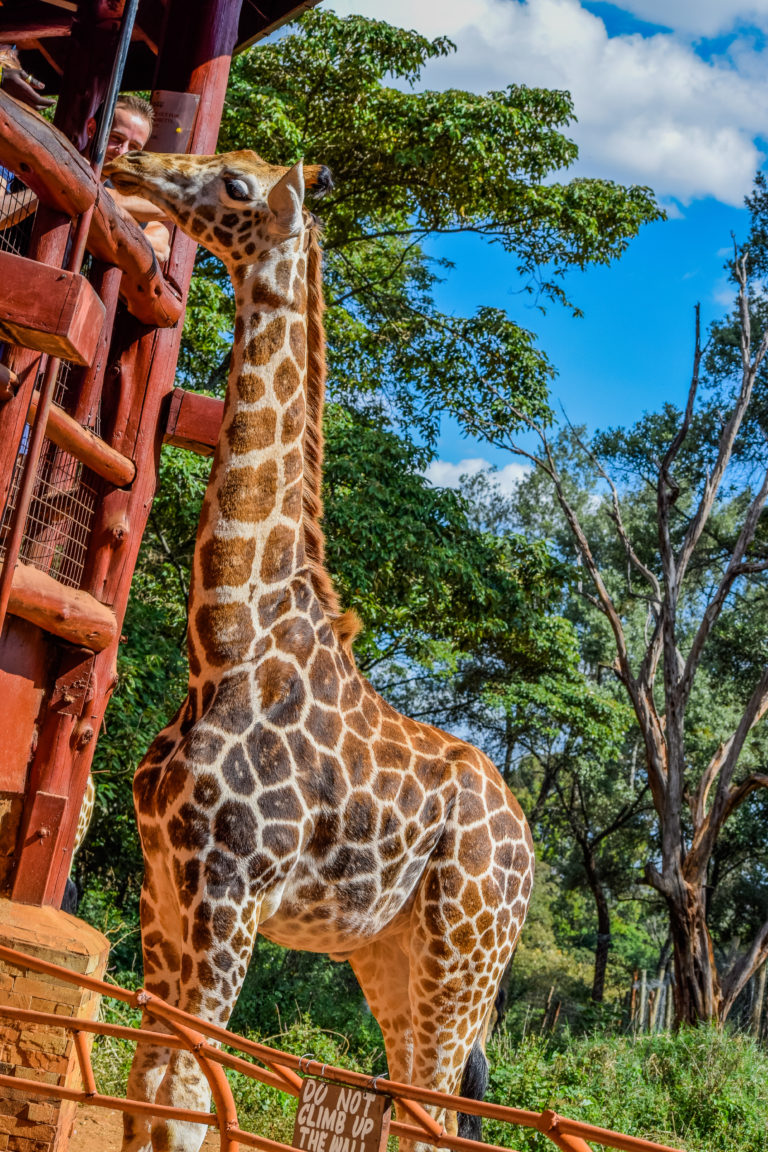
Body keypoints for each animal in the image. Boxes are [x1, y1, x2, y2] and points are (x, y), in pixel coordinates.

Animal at [105, 149, 535, 1152]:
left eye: (234, 187)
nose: (131, 161)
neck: (224, 642)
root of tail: (530, 850)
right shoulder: (160, 889)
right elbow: (145, 1085)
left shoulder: (226, 896)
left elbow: (186, 1102)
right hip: (391, 956)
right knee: (414, 1104)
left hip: (463, 961)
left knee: (432, 1116)